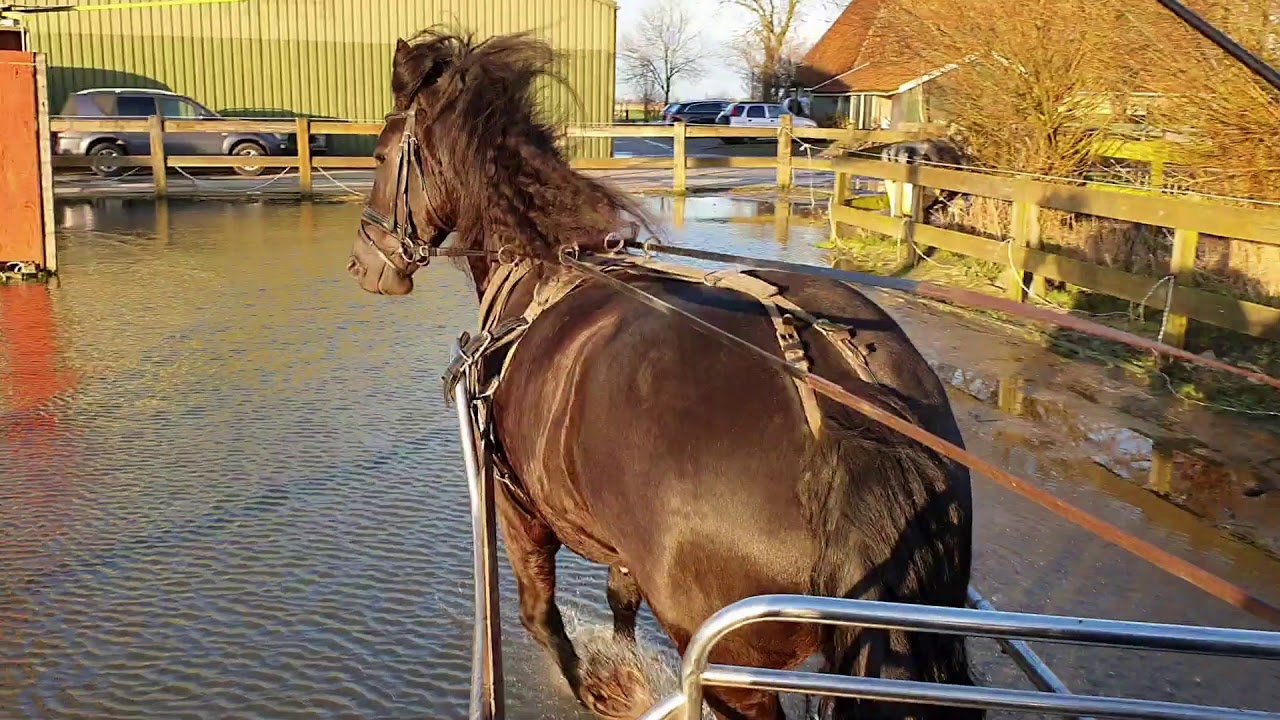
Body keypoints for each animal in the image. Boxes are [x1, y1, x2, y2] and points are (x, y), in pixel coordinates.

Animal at [346, 29, 979, 720]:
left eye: (379, 154)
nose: (362, 265)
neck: (544, 269)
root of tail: (839, 419)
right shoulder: (623, 548)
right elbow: (621, 602)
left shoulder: (518, 510)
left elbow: (541, 618)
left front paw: (602, 688)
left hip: (734, 672)